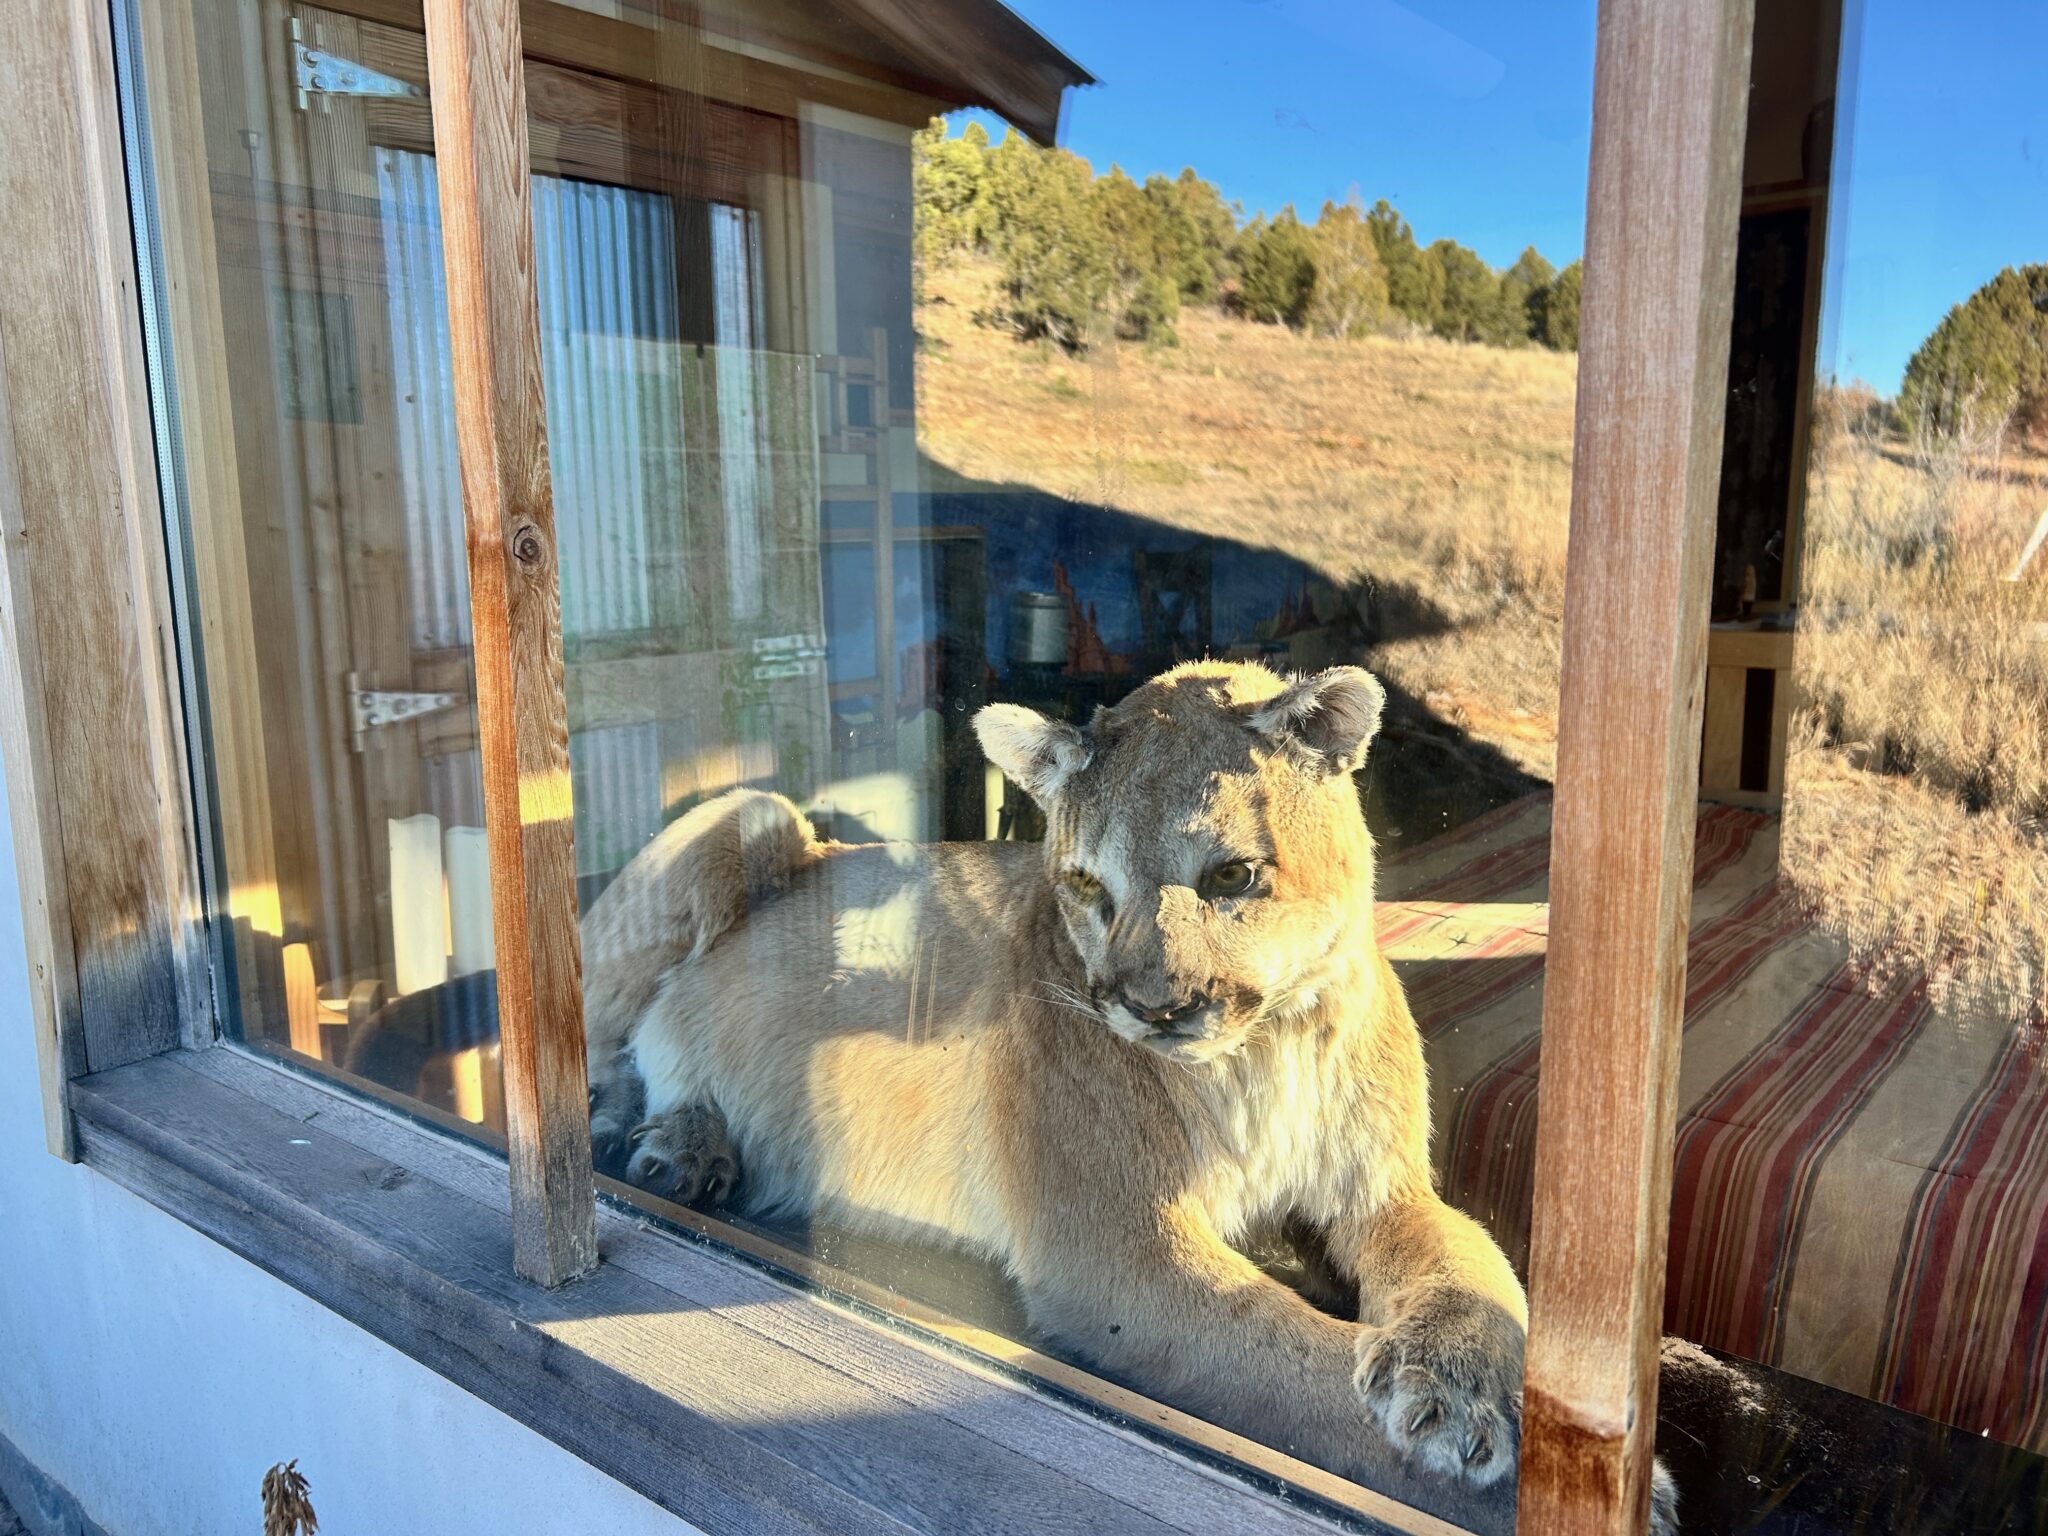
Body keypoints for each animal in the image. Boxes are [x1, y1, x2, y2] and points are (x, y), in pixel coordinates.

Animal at [580, 660, 1674, 1532]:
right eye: (1083, 886)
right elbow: (1289, 1356)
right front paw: (1539, 1479)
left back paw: (685, 1143)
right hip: (750, 816)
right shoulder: (1118, 1251)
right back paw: (651, 1134)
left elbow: (1467, 1268)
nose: (1152, 1009)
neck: (1263, 1050)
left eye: (1232, 875)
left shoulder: (1385, 1193)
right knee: (588, 1028)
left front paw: (1478, 1390)